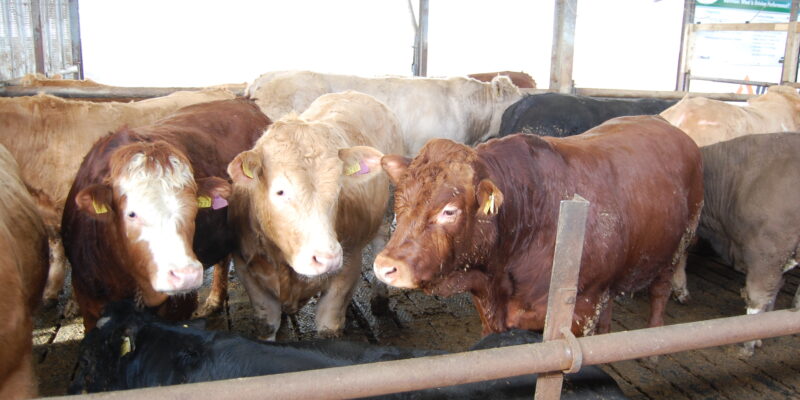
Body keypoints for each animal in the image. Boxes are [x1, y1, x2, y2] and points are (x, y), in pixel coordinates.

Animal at [61, 98, 270, 330]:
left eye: (194, 209)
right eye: (131, 214)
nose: (186, 275)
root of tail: (242, 101)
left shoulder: (179, 306)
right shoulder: (87, 299)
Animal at [228, 91, 404, 340]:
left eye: (339, 188)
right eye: (280, 191)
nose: (326, 258)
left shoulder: (348, 265)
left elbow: (329, 325)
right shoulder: (246, 268)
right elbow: (267, 324)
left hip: (387, 208)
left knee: (380, 242)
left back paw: (379, 300)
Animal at [373, 115, 704, 337]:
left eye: (449, 211)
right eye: (398, 203)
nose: (385, 266)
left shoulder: (581, 309)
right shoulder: (490, 312)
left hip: (675, 248)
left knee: (660, 291)